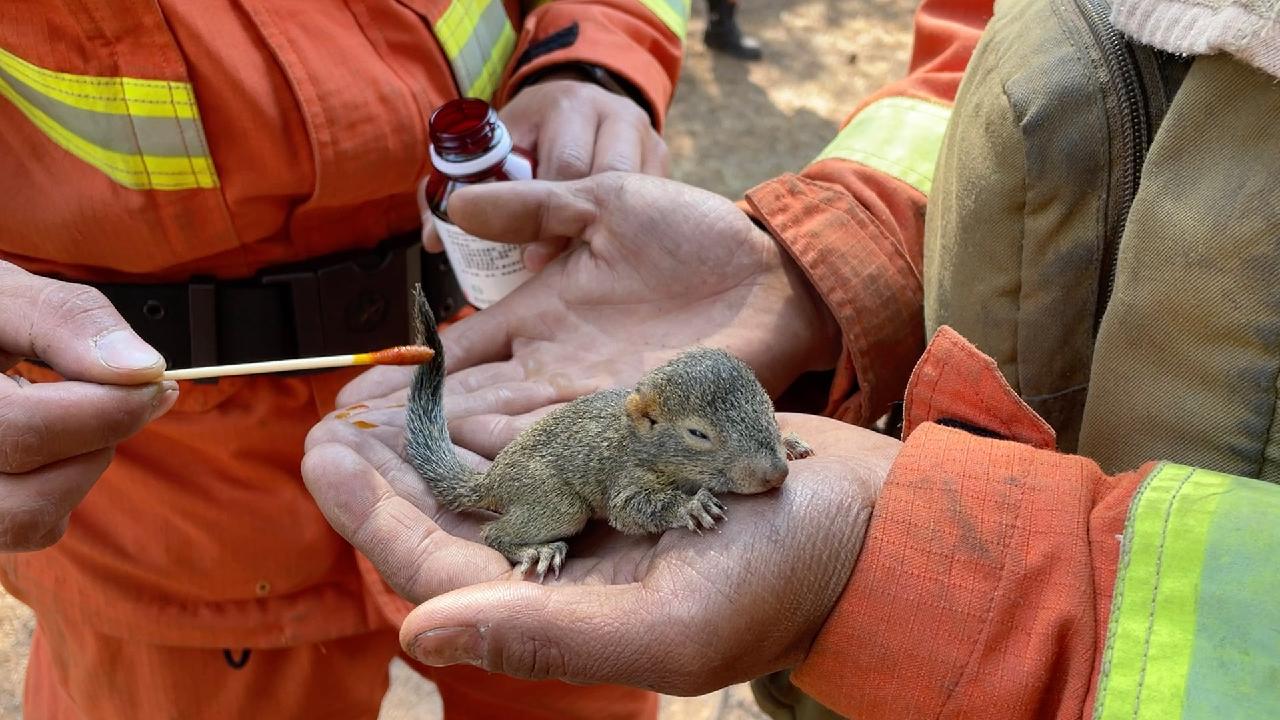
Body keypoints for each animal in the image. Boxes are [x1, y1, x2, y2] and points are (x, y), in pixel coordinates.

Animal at [404, 286, 813, 578]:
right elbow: (628, 508)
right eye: (697, 434)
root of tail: (491, 480)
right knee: (492, 534)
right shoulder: (625, 475)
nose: (776, 473)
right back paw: (534, 550)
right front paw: (690, 505)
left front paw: (791, 442)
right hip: (552, 500)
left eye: (768, 404)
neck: (637, 441)